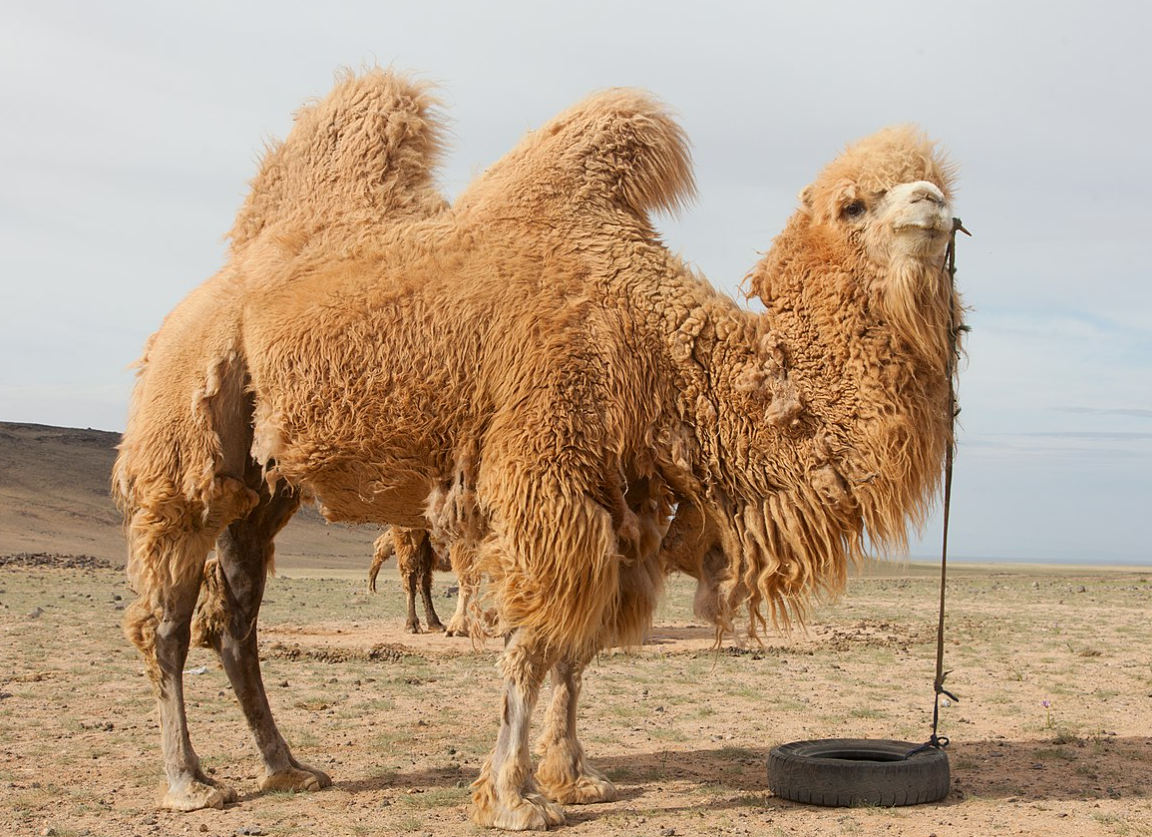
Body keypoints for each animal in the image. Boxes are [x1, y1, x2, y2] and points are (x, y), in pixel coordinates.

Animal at [114, 68, 963, 828]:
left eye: (935, 188)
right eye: (854, 203)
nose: (932, 204)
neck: (659, 345)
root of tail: (209, 289)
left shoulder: (622, 499)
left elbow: (576, 650)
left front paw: (575, 777)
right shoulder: (544, 472)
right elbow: (531, 647)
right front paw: (514, 798)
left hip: (264, 485)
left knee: (234, 618)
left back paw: (286, 766)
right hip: (186, 428)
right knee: (165, 618)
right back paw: (190, 782)